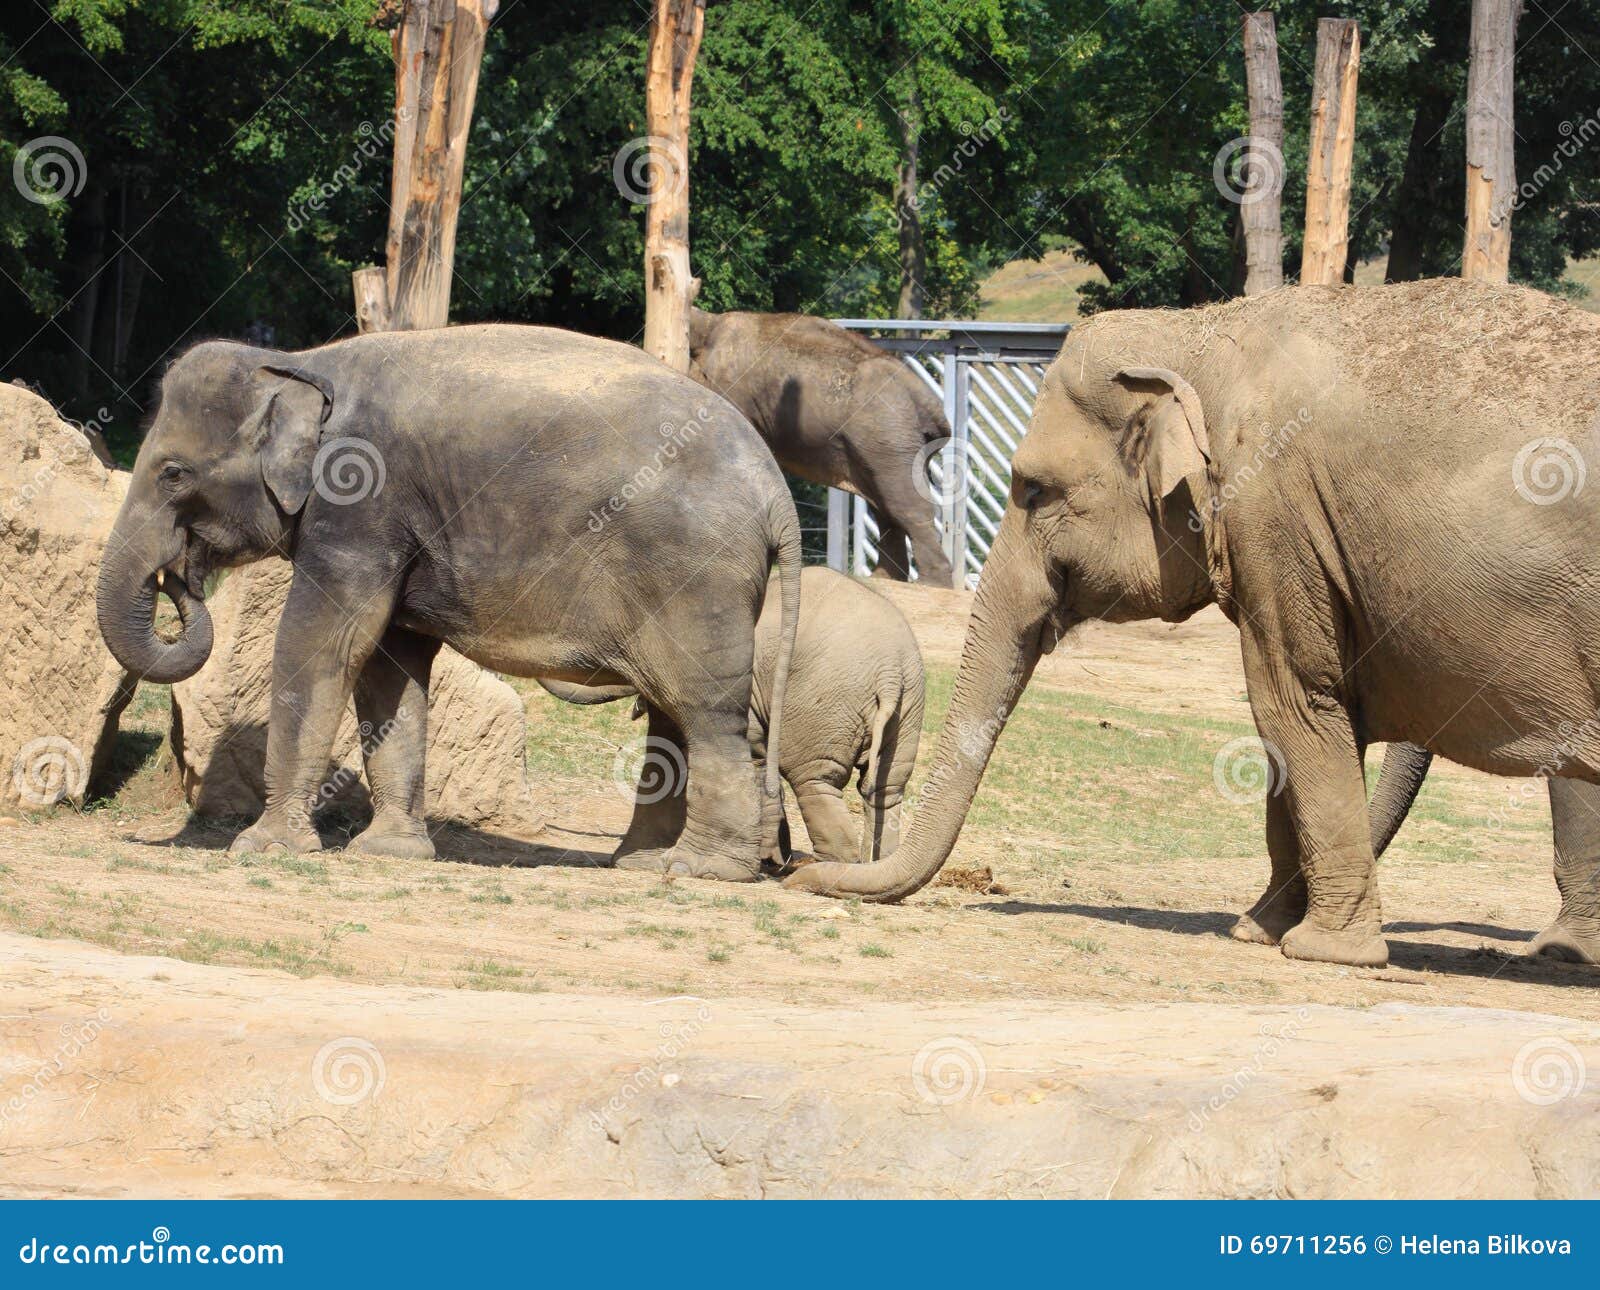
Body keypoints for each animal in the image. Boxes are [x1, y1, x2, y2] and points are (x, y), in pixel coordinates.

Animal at [96, 325, 800, 881]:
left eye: (173, 473)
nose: (180, 576)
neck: (299, 360)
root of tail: (776, 491)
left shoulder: (360, 505)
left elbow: (324, 639)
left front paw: (264, 849)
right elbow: (388, 665)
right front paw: (388, 854)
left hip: (694, 576)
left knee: (705, 712)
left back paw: (702, 870)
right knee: (669, 712)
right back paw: (641, 864)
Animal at [542, 566, 925, 865]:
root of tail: (889, 671)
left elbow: (755, 756)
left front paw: (767, 860)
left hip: (824, 702)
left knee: (815, 782)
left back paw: (829, 865)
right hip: (908, 708)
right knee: (886, 789)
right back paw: (875, 866)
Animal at [688, 308, 957, 587]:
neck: (711, 323)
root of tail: (931, 405)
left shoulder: (734, 392)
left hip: (888, 435)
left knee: (904, 502)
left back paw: (930, 585)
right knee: (884, 502)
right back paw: (885, 579)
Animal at [787, 278, 1600, 969]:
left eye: (1034, 490)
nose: (802, 877)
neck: (1199, 333)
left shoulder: (1274, 510)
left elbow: (1290, 701)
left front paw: (1324, 951)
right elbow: (1312, 712)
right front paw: (1256, 930)